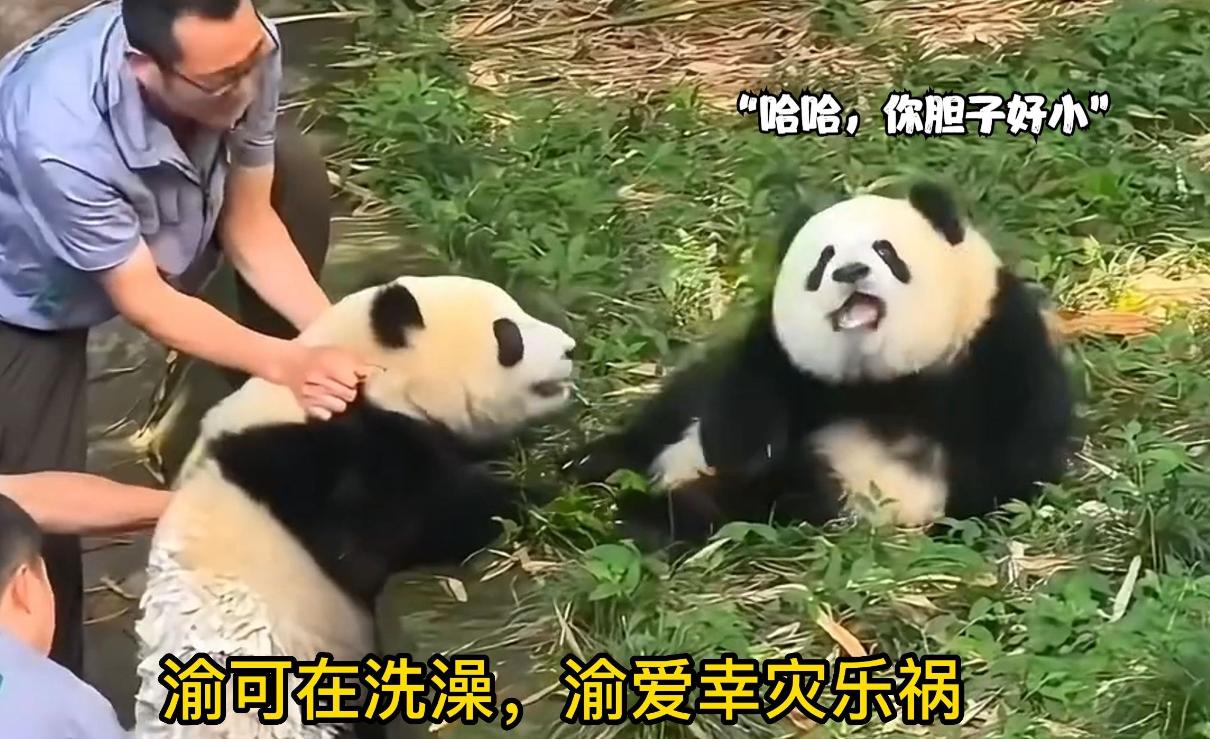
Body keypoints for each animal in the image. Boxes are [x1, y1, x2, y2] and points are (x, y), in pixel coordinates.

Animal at [130, 274, 577, 739]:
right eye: (508, 334)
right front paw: (551, 491)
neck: (373, 371)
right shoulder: (322, 465)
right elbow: (414, 526)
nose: (570, 348)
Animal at [565, 180, 1075, 549]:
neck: (879, 378)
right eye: (823, 259)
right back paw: (592, 464)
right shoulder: (783, 357)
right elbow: (737, 418)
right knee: (669, 416)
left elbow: (1019, 438)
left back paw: (648, 516)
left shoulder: (992, 334)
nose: (850, 272)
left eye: (885, 251)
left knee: (746, 499)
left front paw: (969, 516)